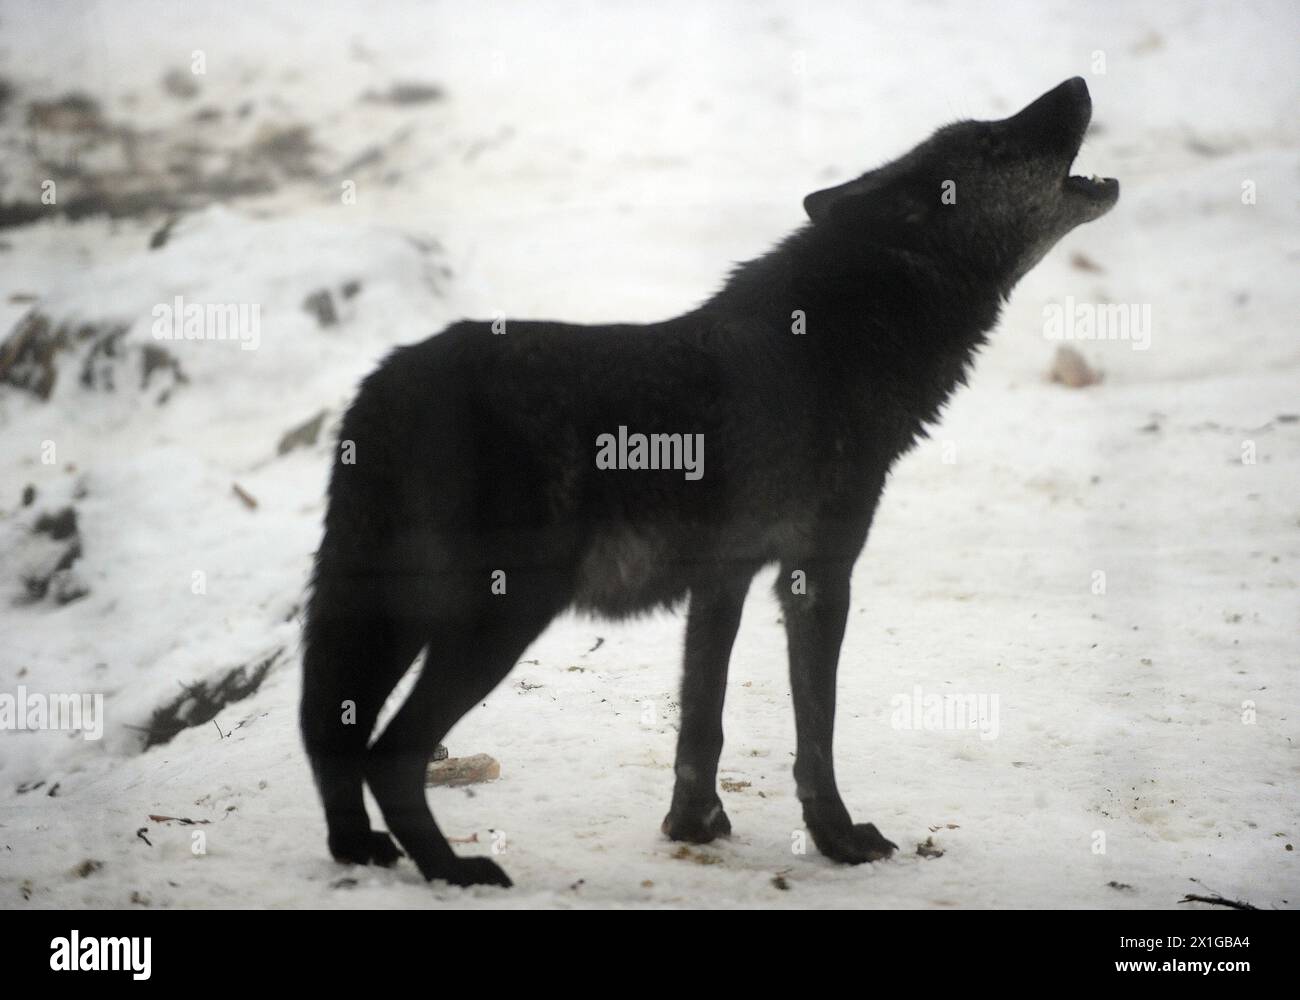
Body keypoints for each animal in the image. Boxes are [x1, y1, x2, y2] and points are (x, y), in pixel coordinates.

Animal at [300, 77, 1117, 887]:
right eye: (993, 143)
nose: (1079, 83)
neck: (840, 343)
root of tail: (385, 387)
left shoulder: (722, 579)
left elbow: (702, 720)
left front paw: (693, 826)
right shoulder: (816, 575)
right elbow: (815, 733)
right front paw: (838, 840)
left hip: (392, 610)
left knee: (325, 729)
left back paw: (360, 851)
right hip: (497, 616)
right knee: (388, 751)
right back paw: (453, 870)